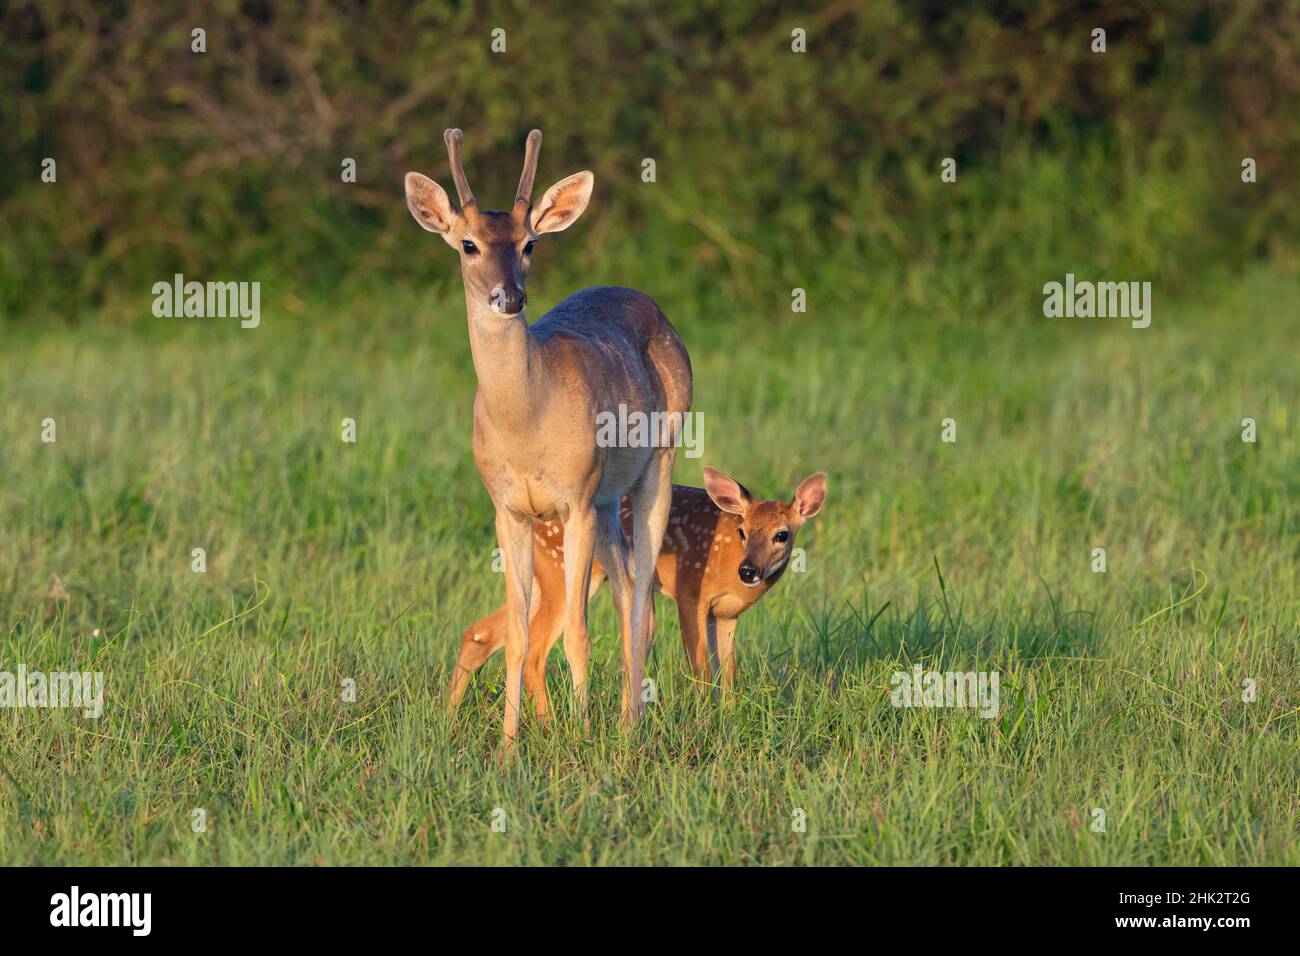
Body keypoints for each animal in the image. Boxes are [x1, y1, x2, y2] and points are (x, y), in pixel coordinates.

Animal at [404, 129, 692, 750]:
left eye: (530, 244)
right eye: (467, 245)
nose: (509, 297)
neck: (525, 424)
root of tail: (652, 304)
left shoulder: (574, 497)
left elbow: (579, 633)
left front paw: (581, 739)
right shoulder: (507, 508)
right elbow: (516, 633)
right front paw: (510, 746)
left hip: (659, 458)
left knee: (639, 595)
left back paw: (630, 726)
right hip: (607, 498)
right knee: (627, 587)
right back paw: (626, 718)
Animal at [446, 467, 827, 712]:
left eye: (782, 534)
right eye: (743, 530)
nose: (748, 570)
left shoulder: (727, 614)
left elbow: (728, 671)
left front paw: (729, 715)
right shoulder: (691, 592)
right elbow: (700, 666)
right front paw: (705, 718)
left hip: (544, 577)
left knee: (482, 632)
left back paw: (449, 718)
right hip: (563, 574)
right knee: (535, 650)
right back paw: (549, 726)